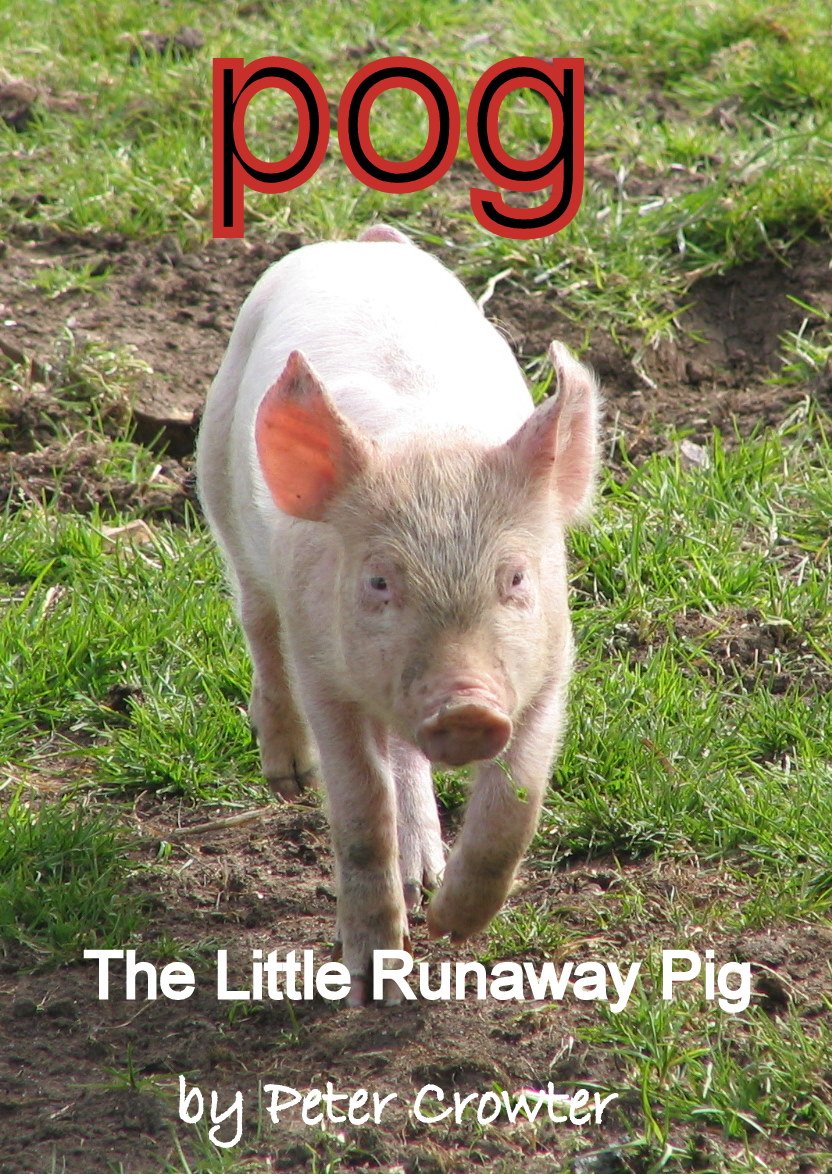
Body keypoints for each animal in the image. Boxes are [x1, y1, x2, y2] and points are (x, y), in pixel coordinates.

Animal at [196, 225, 599, 1004]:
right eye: (379, 581)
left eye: (515, 578)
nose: (466, 706)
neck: (426, 443)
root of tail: (359, 242)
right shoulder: (324, 666)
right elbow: (359, 812)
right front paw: (376, 978)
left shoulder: (549, 669)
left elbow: (517, 802)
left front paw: (453, 927)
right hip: (218, 470)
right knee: (257, 621)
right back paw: (289, 779)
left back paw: (425, 878)